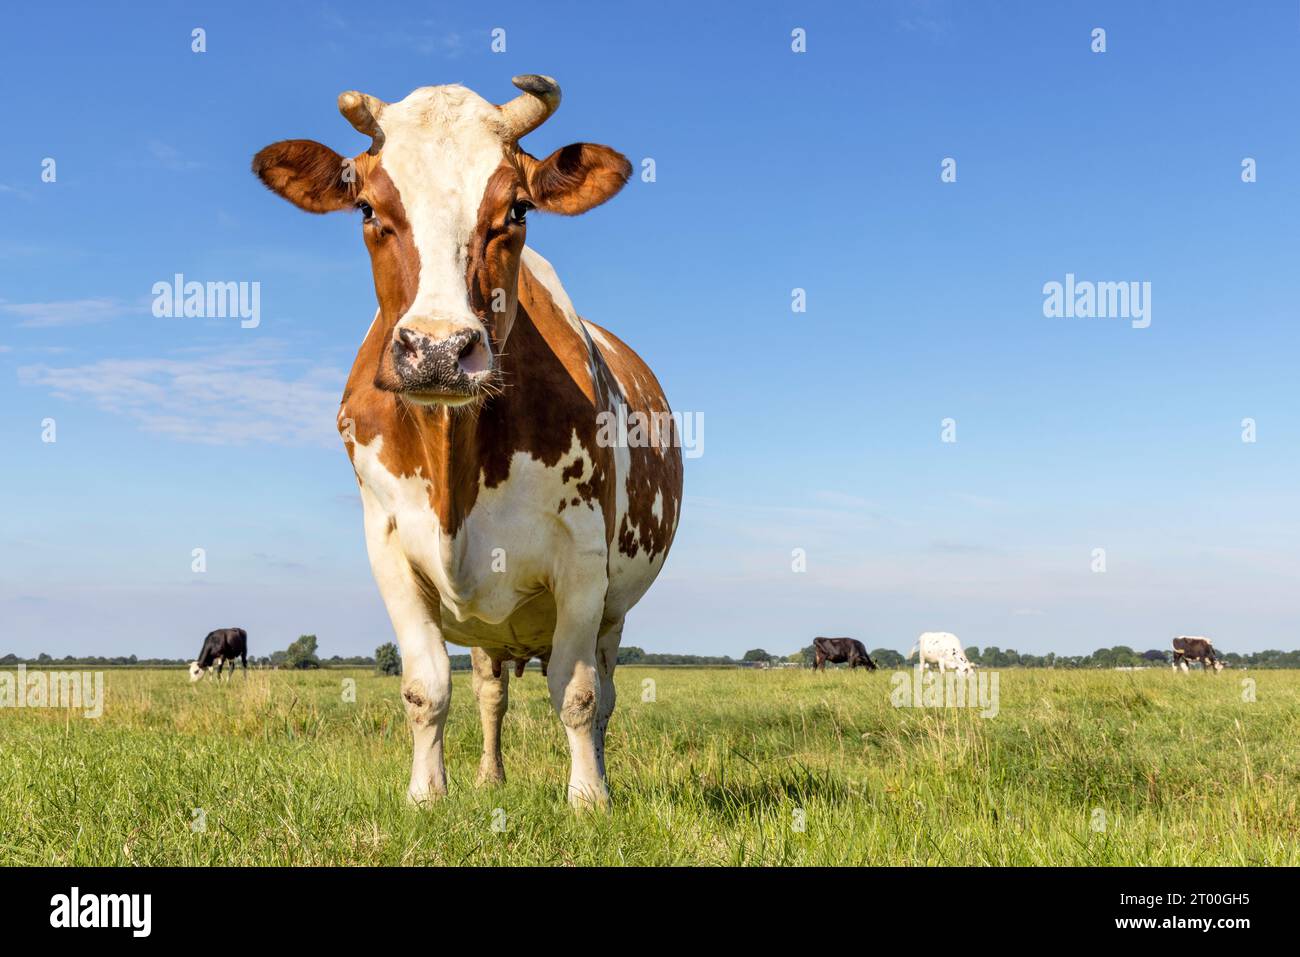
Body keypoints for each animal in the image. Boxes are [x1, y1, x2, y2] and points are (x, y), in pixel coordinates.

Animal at [253, 77, 683, 809]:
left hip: (614, 610)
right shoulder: (389, 545)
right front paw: (428, 794)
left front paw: (588, 799)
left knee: (603, 695)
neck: (455, 456)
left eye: (517, 208)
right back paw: (490, 775)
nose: (438, 350)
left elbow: (577, 695)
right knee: (490, 692)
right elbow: (425, 688)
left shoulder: (584, 560)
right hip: (488, 630)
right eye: (366, 207)